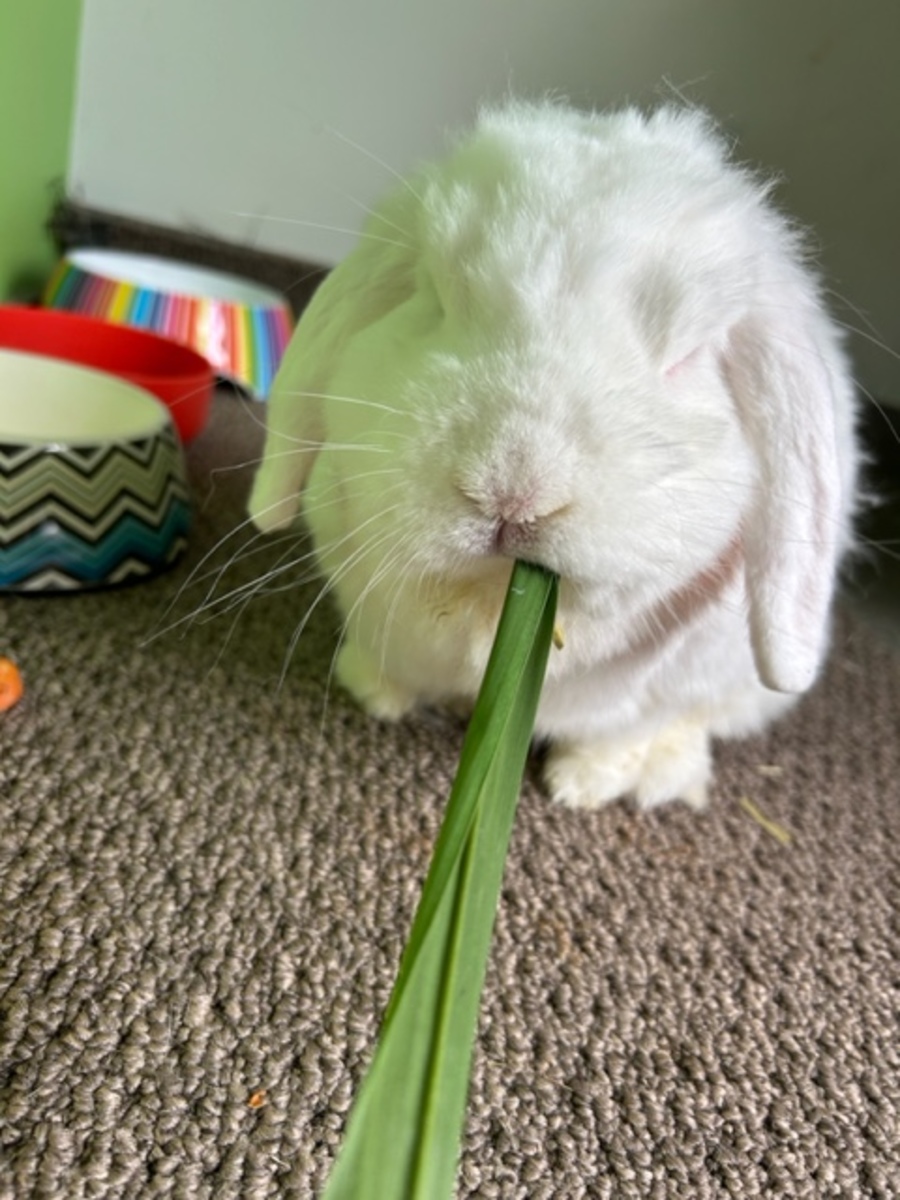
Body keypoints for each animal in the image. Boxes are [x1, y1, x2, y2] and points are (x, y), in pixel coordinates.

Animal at [248, 99, 859, 810]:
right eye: (435, 298)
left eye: (685, 357)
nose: (513, 492)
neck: (489, 604)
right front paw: (375, 692)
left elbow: (632, 726)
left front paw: (585, 787)